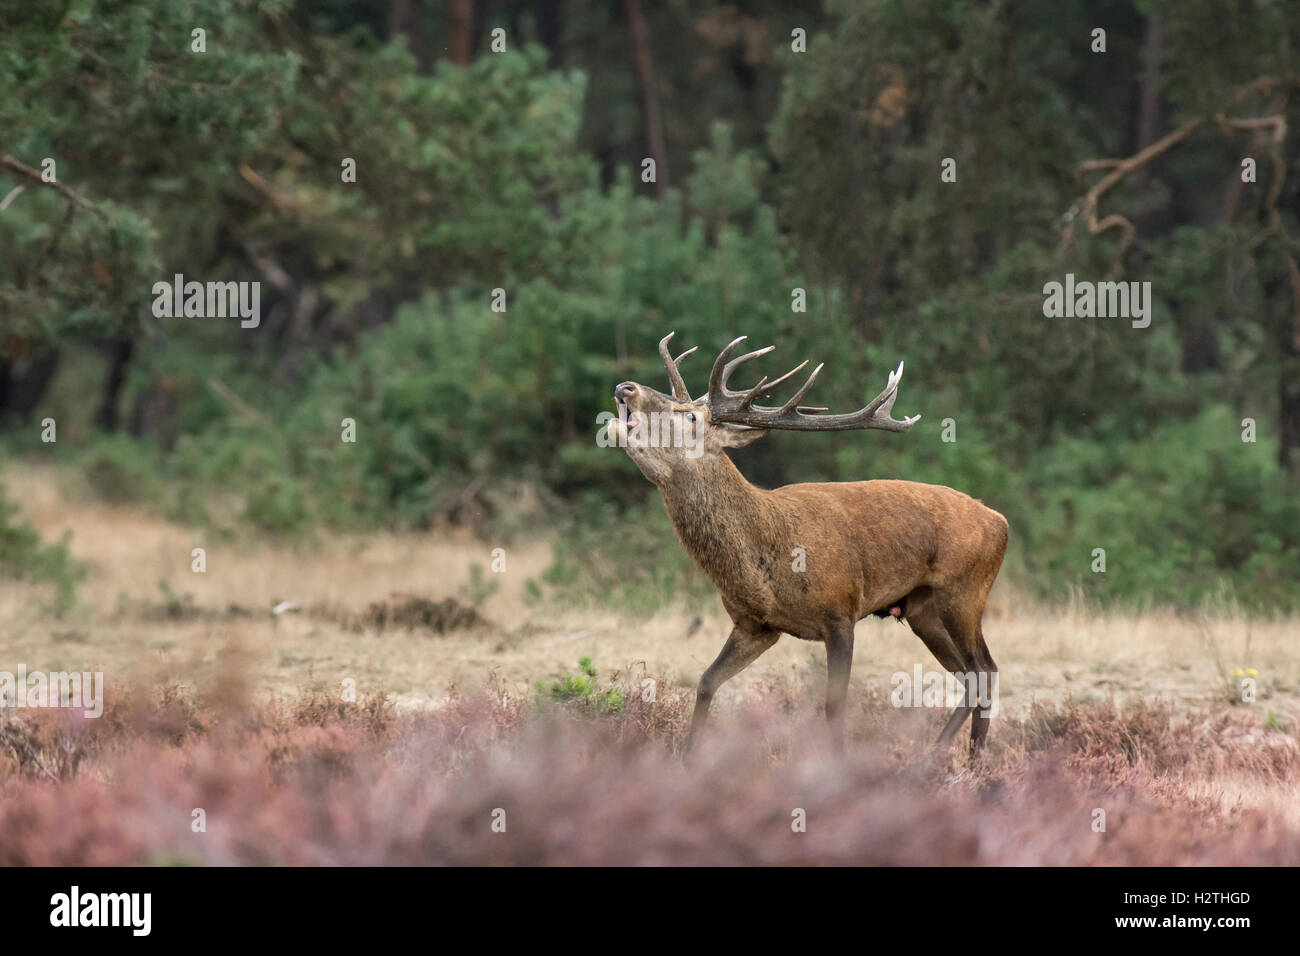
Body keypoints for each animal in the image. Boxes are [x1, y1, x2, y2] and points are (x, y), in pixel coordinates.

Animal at [606, 333, 1008, 759]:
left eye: (690, 417)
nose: (626, 387)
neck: (766, 566)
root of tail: (1000, 521)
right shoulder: (755, 626)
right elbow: (705, 682)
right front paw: (687, 760)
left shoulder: (841, 611)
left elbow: (834, 704)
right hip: (923, 609)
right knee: (973, 674)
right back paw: (955, 757)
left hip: (964, 592)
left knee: (984, 669)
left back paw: (953, 758)